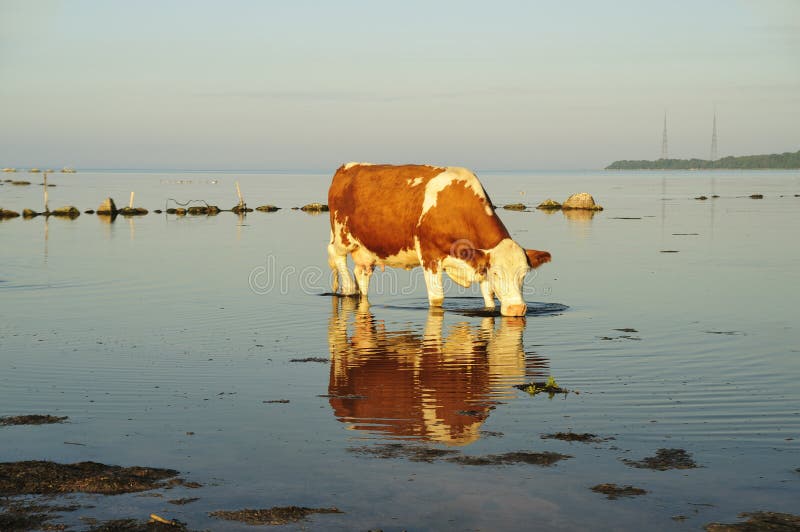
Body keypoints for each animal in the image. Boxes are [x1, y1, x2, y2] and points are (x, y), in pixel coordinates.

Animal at [327, 163, 551, 317]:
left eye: (524, 274)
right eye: (497, 273)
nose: (517, 309)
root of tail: (347, 167)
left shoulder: (479, 263)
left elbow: (489, 299)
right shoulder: (430, 256)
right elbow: (437, 299)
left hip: (366, 251)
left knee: (362, 274)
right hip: (342, 237)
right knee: (336, 256)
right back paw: (349, 288)